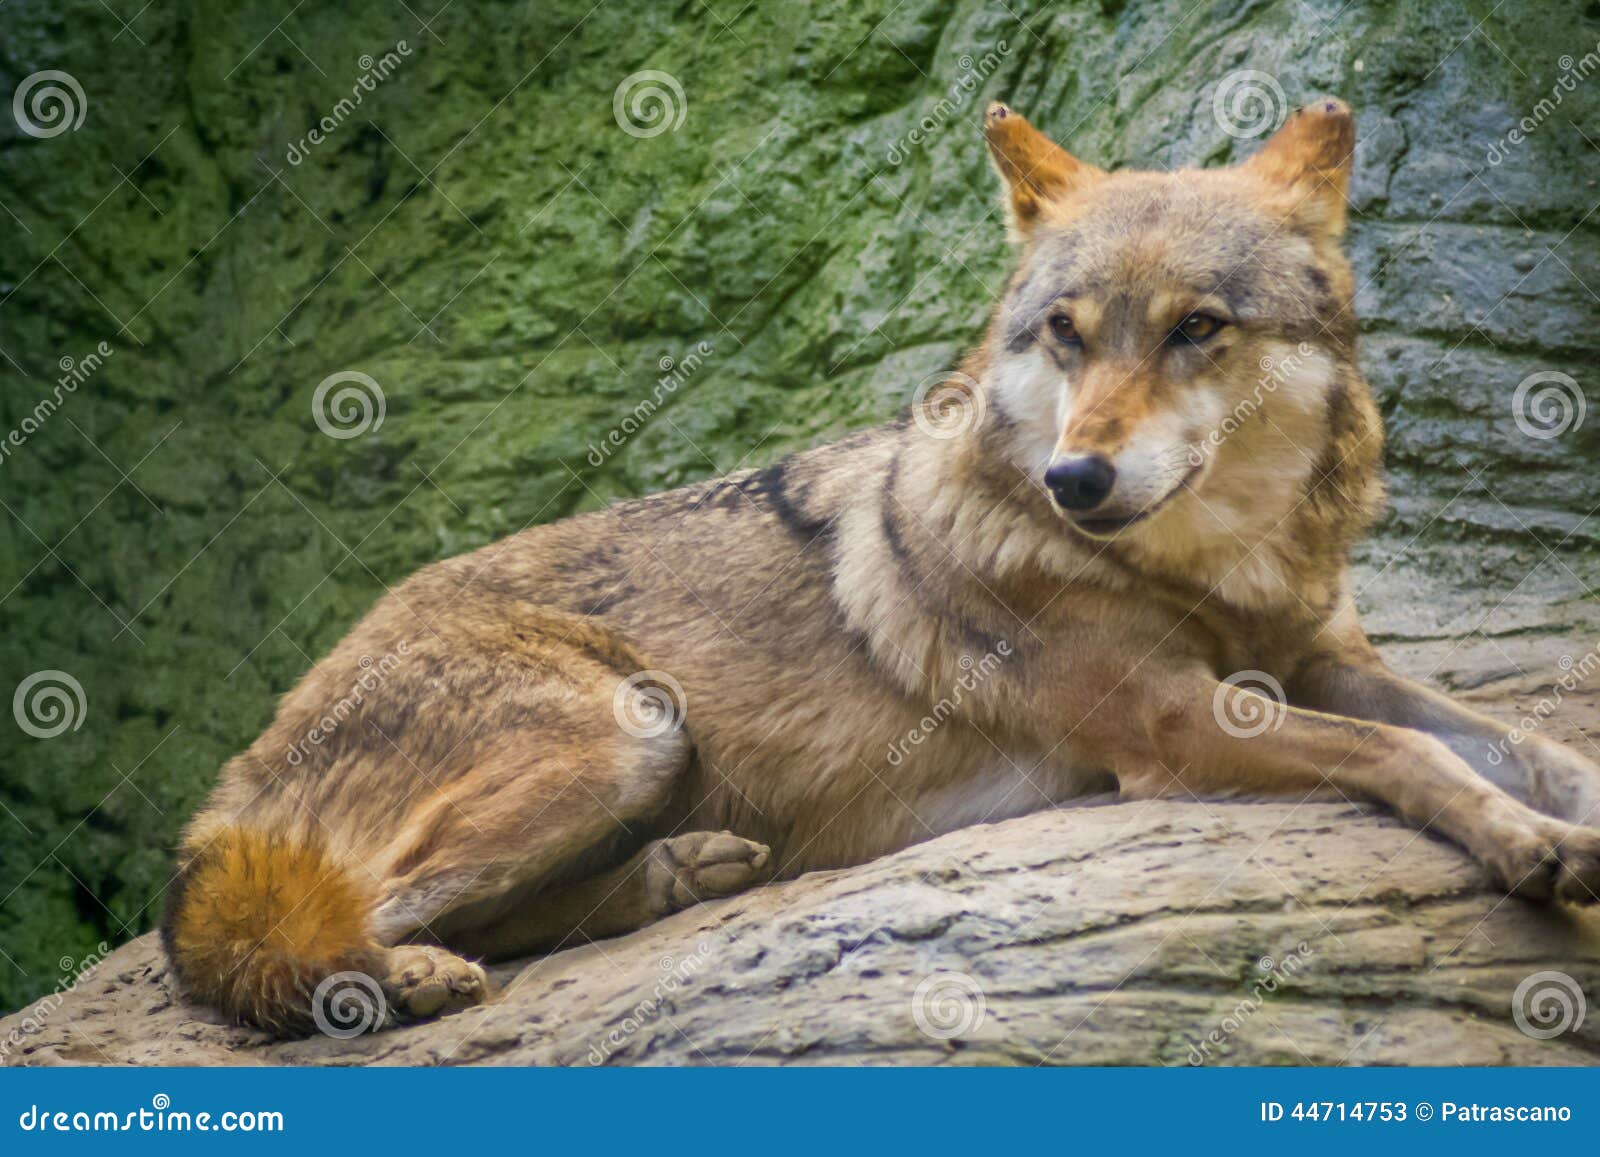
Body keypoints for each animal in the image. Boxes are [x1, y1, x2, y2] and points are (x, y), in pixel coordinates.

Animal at [164, 99, 1600, 1034]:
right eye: (1066, 333)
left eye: (1198, 327)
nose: (1078, 480)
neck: (1216, 571)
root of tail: (227, 784)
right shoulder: (1180, 725)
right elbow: (1408, 757)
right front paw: (1530, 847)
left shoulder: (1321, 660)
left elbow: (1525, 740)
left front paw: (1558, 808)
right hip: (632, 728)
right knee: (333, 923)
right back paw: (398, 977)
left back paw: (679, 874)